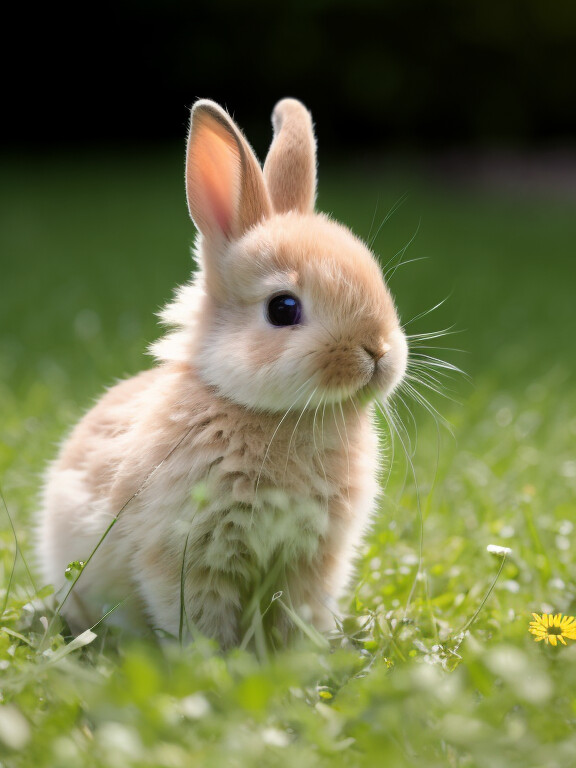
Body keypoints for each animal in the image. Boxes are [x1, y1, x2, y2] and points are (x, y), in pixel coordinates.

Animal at [36, 97, 408, 648]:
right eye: (283, 308)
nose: (378, 351)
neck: (279, 417)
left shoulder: (311, 561)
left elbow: (294, 616)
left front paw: (296, 659)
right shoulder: (187, 559)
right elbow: (201, 622)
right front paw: (214, 663)